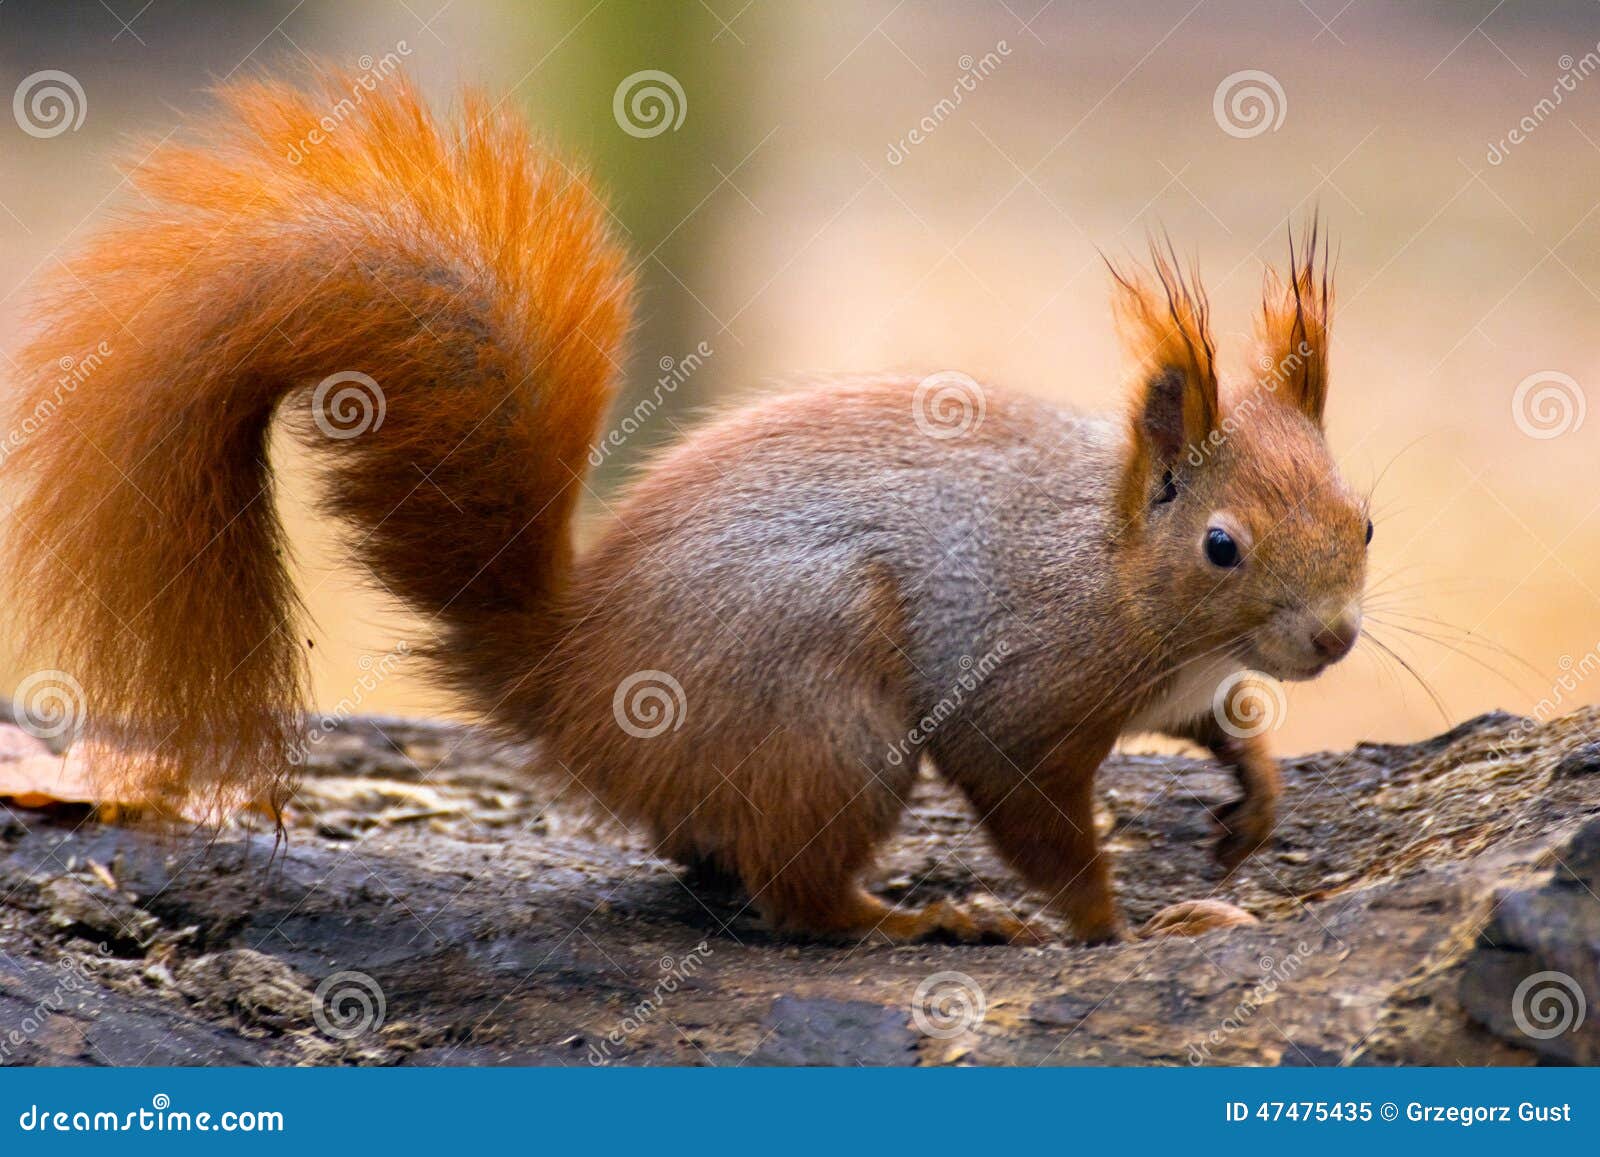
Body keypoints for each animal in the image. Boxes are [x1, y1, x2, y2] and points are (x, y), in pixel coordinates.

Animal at [3, 73, 1368, 945]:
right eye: (1222, 545)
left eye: (1362, 520)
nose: (1335, 639)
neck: (1116, 566)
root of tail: (567, 668)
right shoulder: (1025, 683)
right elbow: (1032, 806)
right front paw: (1112, 923)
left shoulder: (1181, 680)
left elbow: (1218, 723)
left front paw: (1253, 791)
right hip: (825, 715)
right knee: (800, 895)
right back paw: (917, 917)